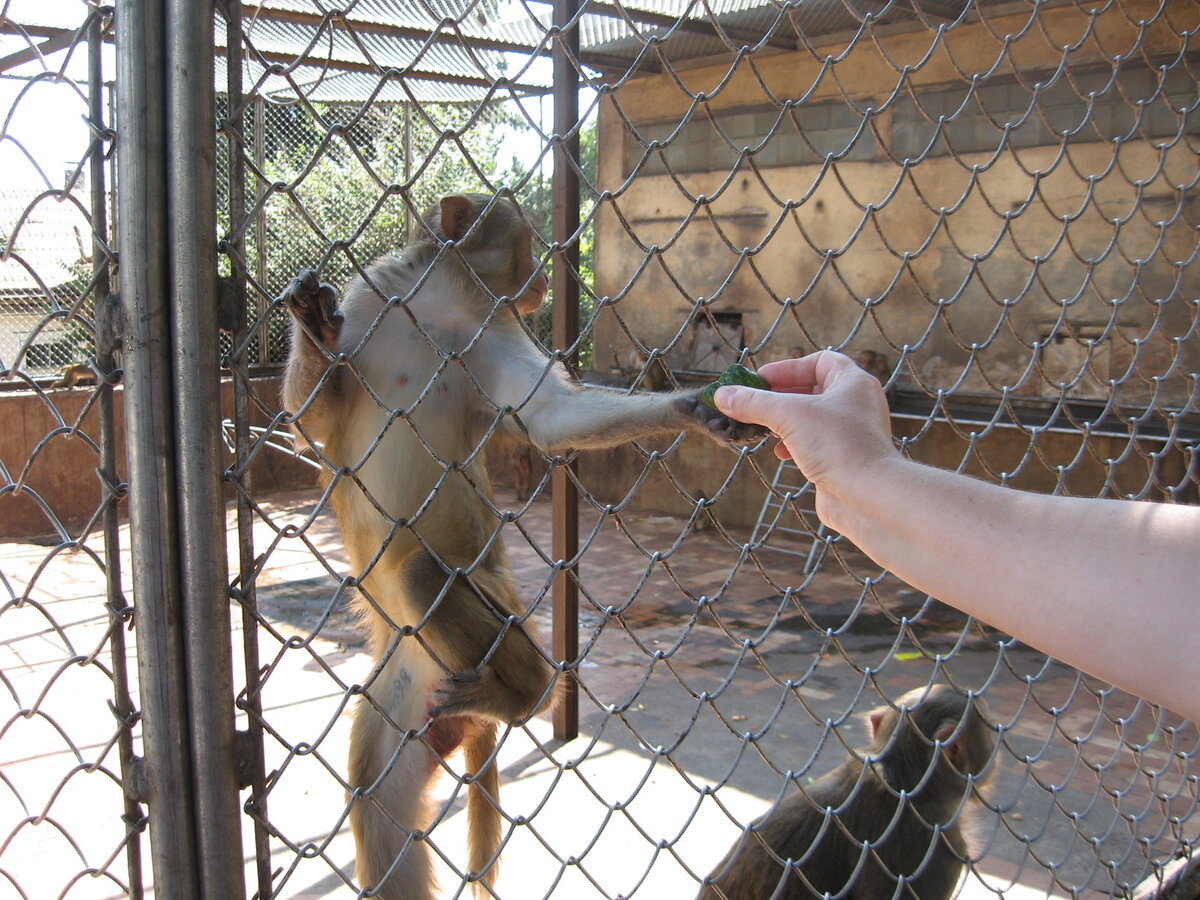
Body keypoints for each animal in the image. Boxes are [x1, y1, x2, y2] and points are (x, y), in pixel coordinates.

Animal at [280, 192, 763, 900]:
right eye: (528, 242)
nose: (541, 273)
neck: (439, 304)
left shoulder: (491, 331)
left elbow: (551, 417)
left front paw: (690, 409)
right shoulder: (375, 299)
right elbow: (309, 422)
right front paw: (315, 326)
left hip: (492, 604)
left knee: (424, 574)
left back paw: (525, 693)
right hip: (405, 692)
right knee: (378, 804)